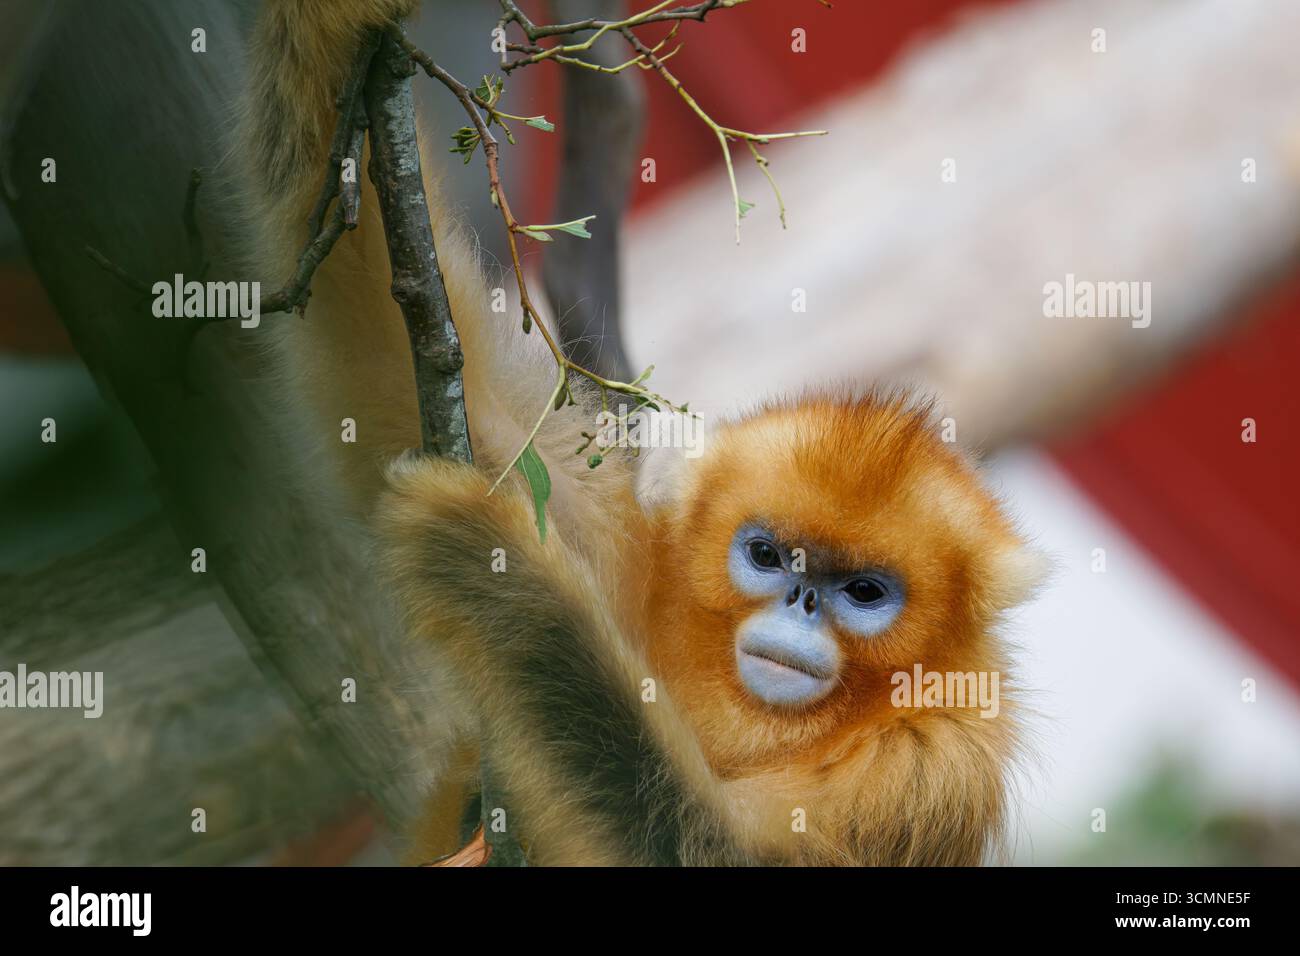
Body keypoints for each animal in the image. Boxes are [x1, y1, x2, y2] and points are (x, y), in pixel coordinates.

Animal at [239, 0, 1046, 865]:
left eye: (864, 593)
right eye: (767, 556)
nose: (800, 603)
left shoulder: (940, 762)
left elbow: (698, 843)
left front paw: (499, 575)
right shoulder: (639, 567)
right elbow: (404, 373)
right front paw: (333, 24)